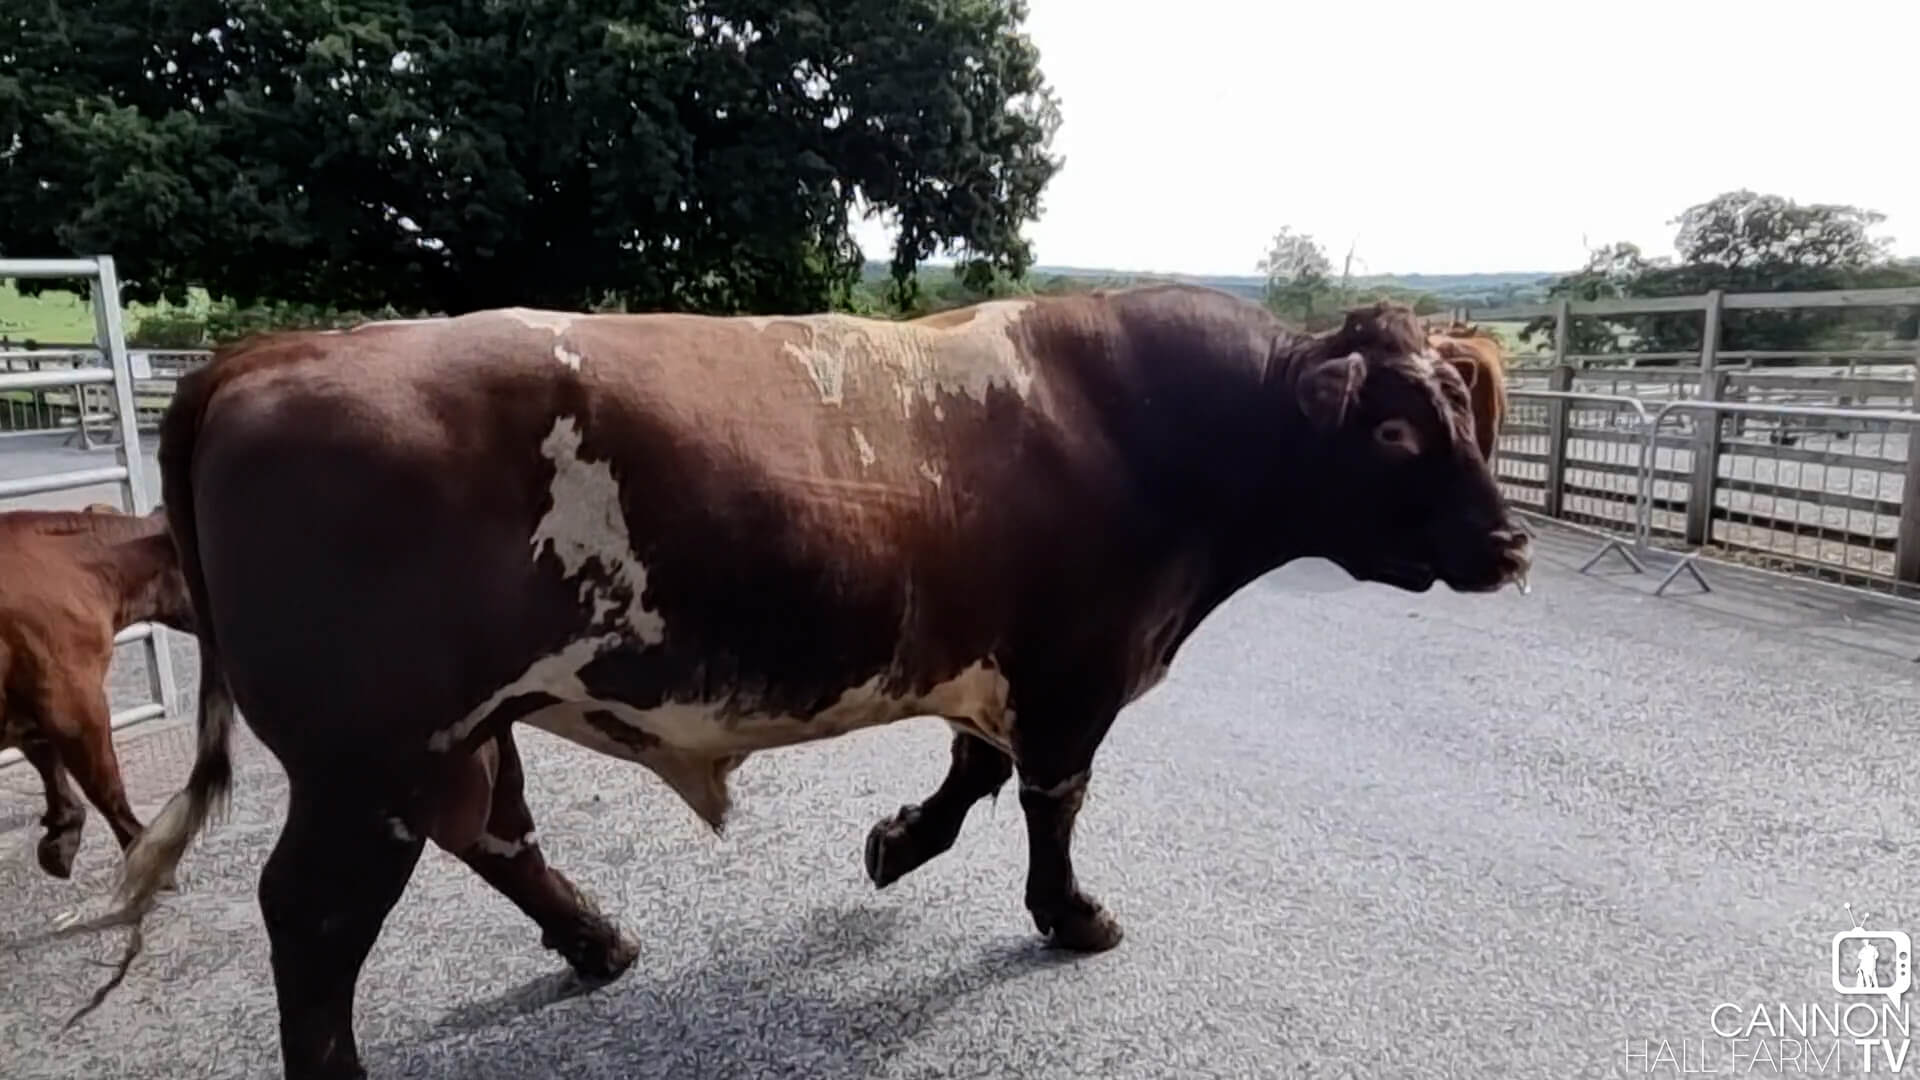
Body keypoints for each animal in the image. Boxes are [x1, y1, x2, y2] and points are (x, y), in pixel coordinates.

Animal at [74, 286, 1530, 1078]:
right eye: (1396, 430)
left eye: (1468, 418)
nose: (1511, 545)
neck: (1154, 431)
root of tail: (269, 355)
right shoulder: (1079, 664)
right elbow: (1051, 800)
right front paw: (1070, 916)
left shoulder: (997, 658)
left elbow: (976, 770)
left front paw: (895, 842)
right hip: (366, 754)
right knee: (318, 916)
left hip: (448, 733)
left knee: (491, 831)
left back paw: (599, 942)